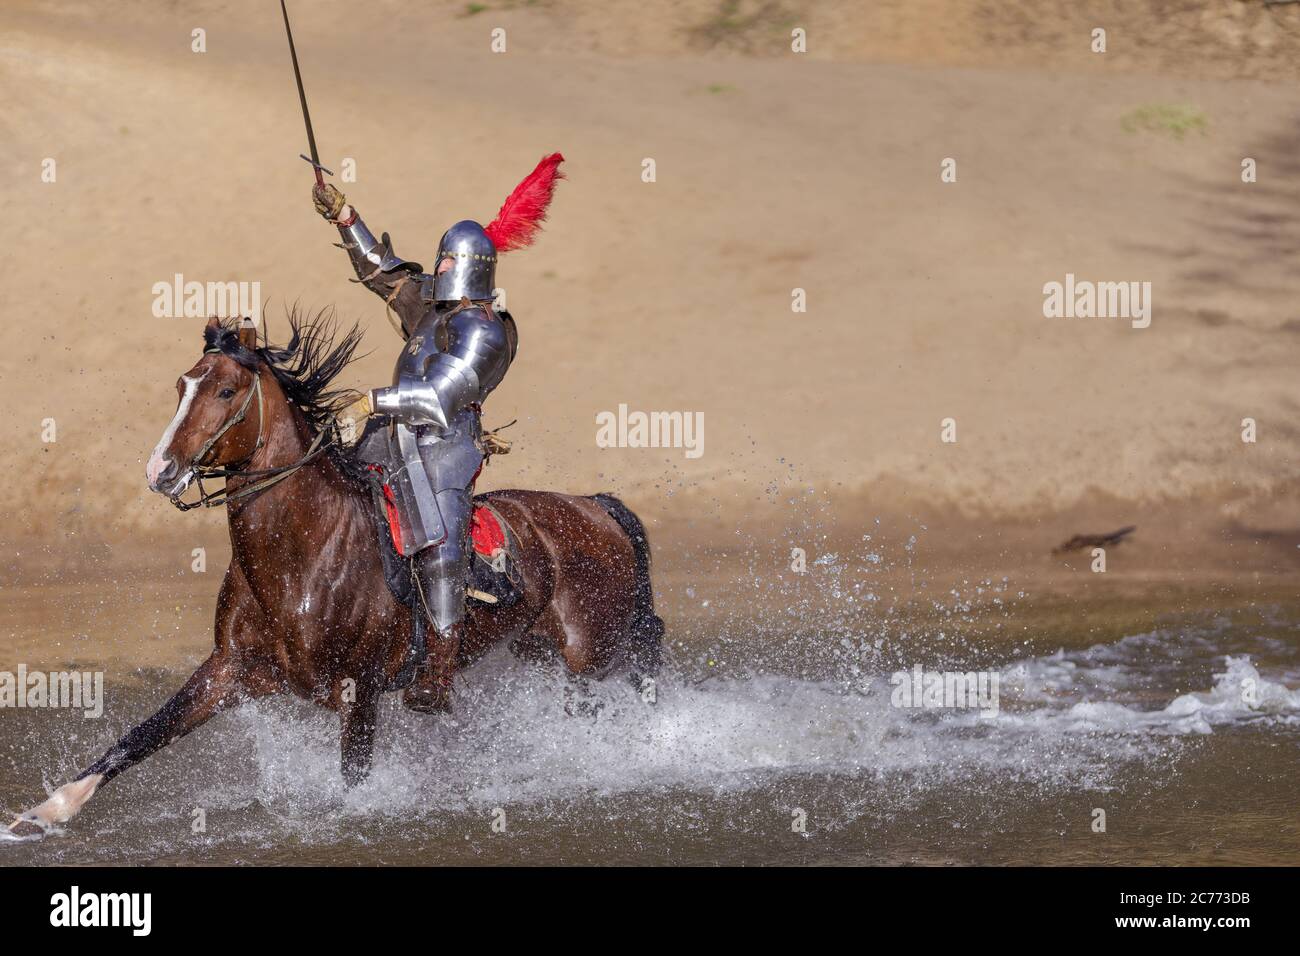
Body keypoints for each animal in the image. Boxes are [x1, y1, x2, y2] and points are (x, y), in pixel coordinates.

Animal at [6, 313, 663, 839]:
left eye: (225, 389)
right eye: (181, 386)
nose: (160, 470)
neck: (304, 557)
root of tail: (596, 507)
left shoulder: (360, 691)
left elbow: (352, 780)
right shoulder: (228, 671)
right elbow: (139, 737)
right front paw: (42, 814)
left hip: (594, 652)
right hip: (545, 652)